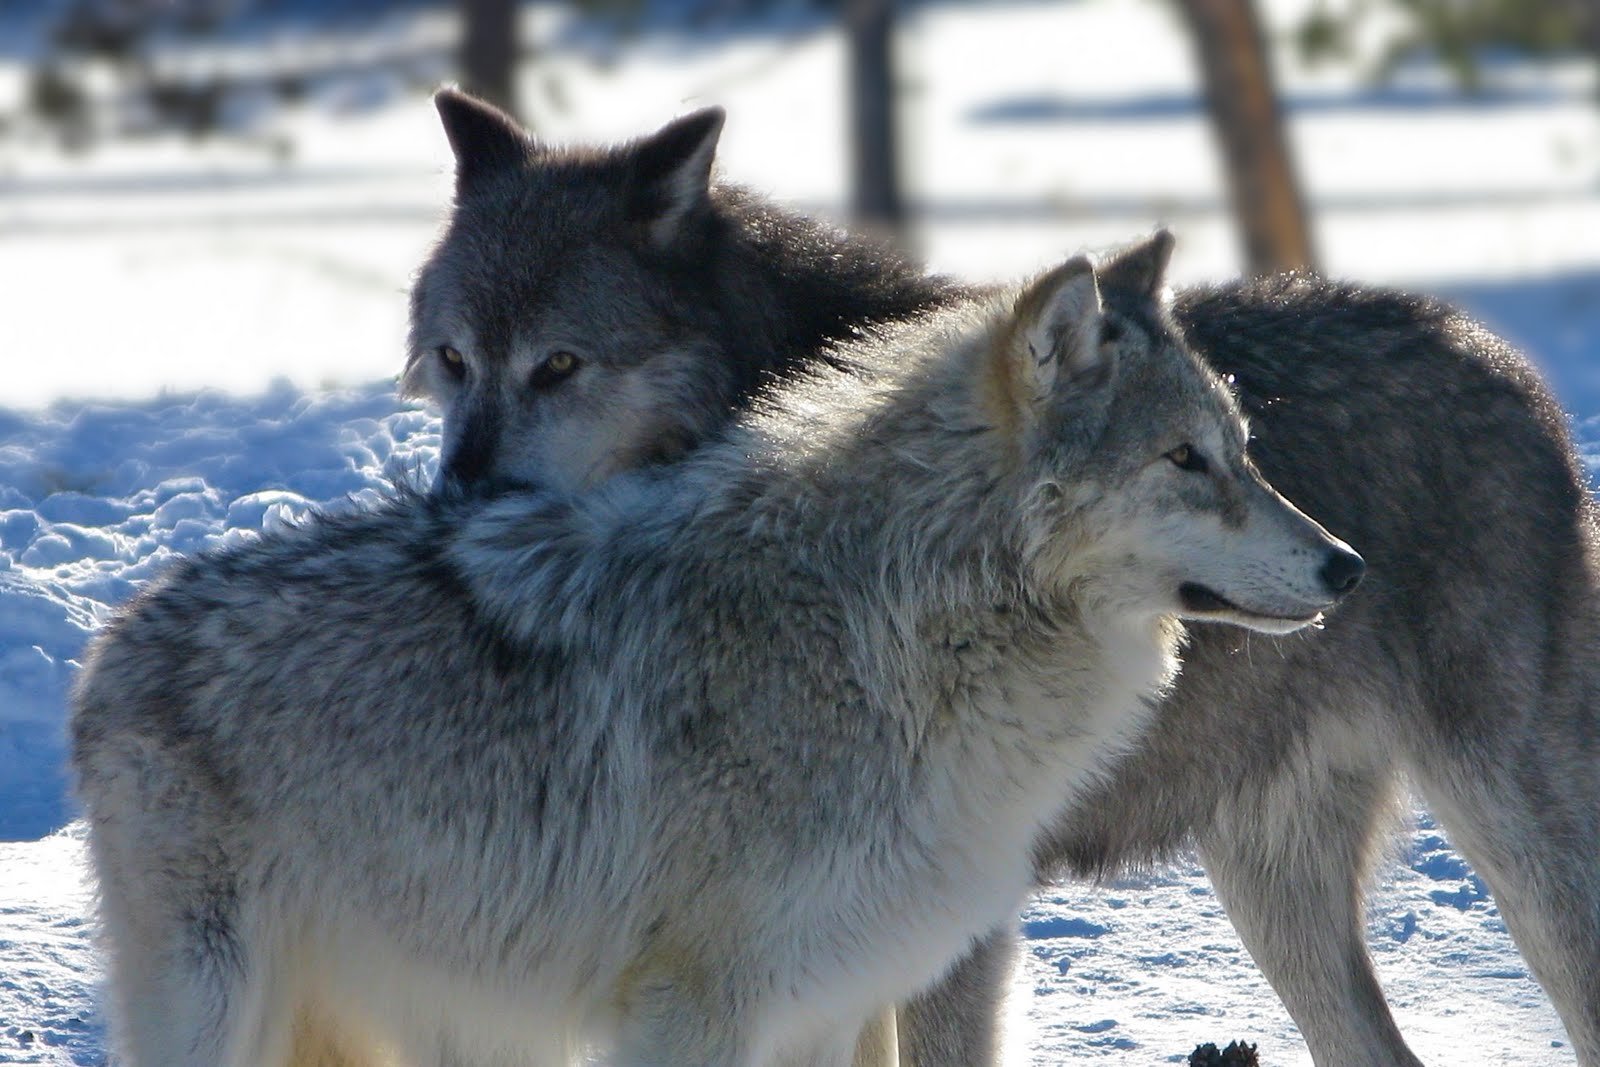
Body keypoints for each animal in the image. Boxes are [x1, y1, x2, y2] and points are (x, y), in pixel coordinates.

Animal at [72, 235, 1362, 1067]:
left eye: (1241, 449)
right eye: (1184, 460)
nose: (1348, 566)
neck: (894, 628)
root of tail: (117, 638)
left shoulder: (831, 1001)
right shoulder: (691, 1011)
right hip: (227, 1011)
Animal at [404, 90, 1600, 1067]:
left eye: (559, 366)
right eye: (455, 360)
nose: (453, 503)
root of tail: (1509, 366)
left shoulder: (947, 928)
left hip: (1511, 835)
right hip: (1270, 878)